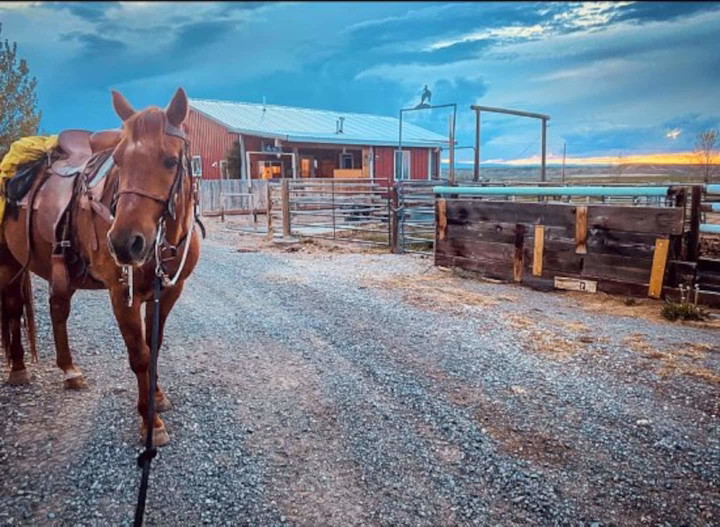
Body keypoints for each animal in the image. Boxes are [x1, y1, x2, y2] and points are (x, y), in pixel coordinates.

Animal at [0, 87, 202, 446]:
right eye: (118, 161)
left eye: (169, 160)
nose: (124, 243)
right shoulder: (122, 295)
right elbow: (139, 355)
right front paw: (149, 421)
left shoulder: (168, 292)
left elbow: (154, 346)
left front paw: (157, 397)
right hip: (8, 263)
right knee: (11, 307)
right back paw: (19, 368)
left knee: (55, 310)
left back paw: (69, 371)